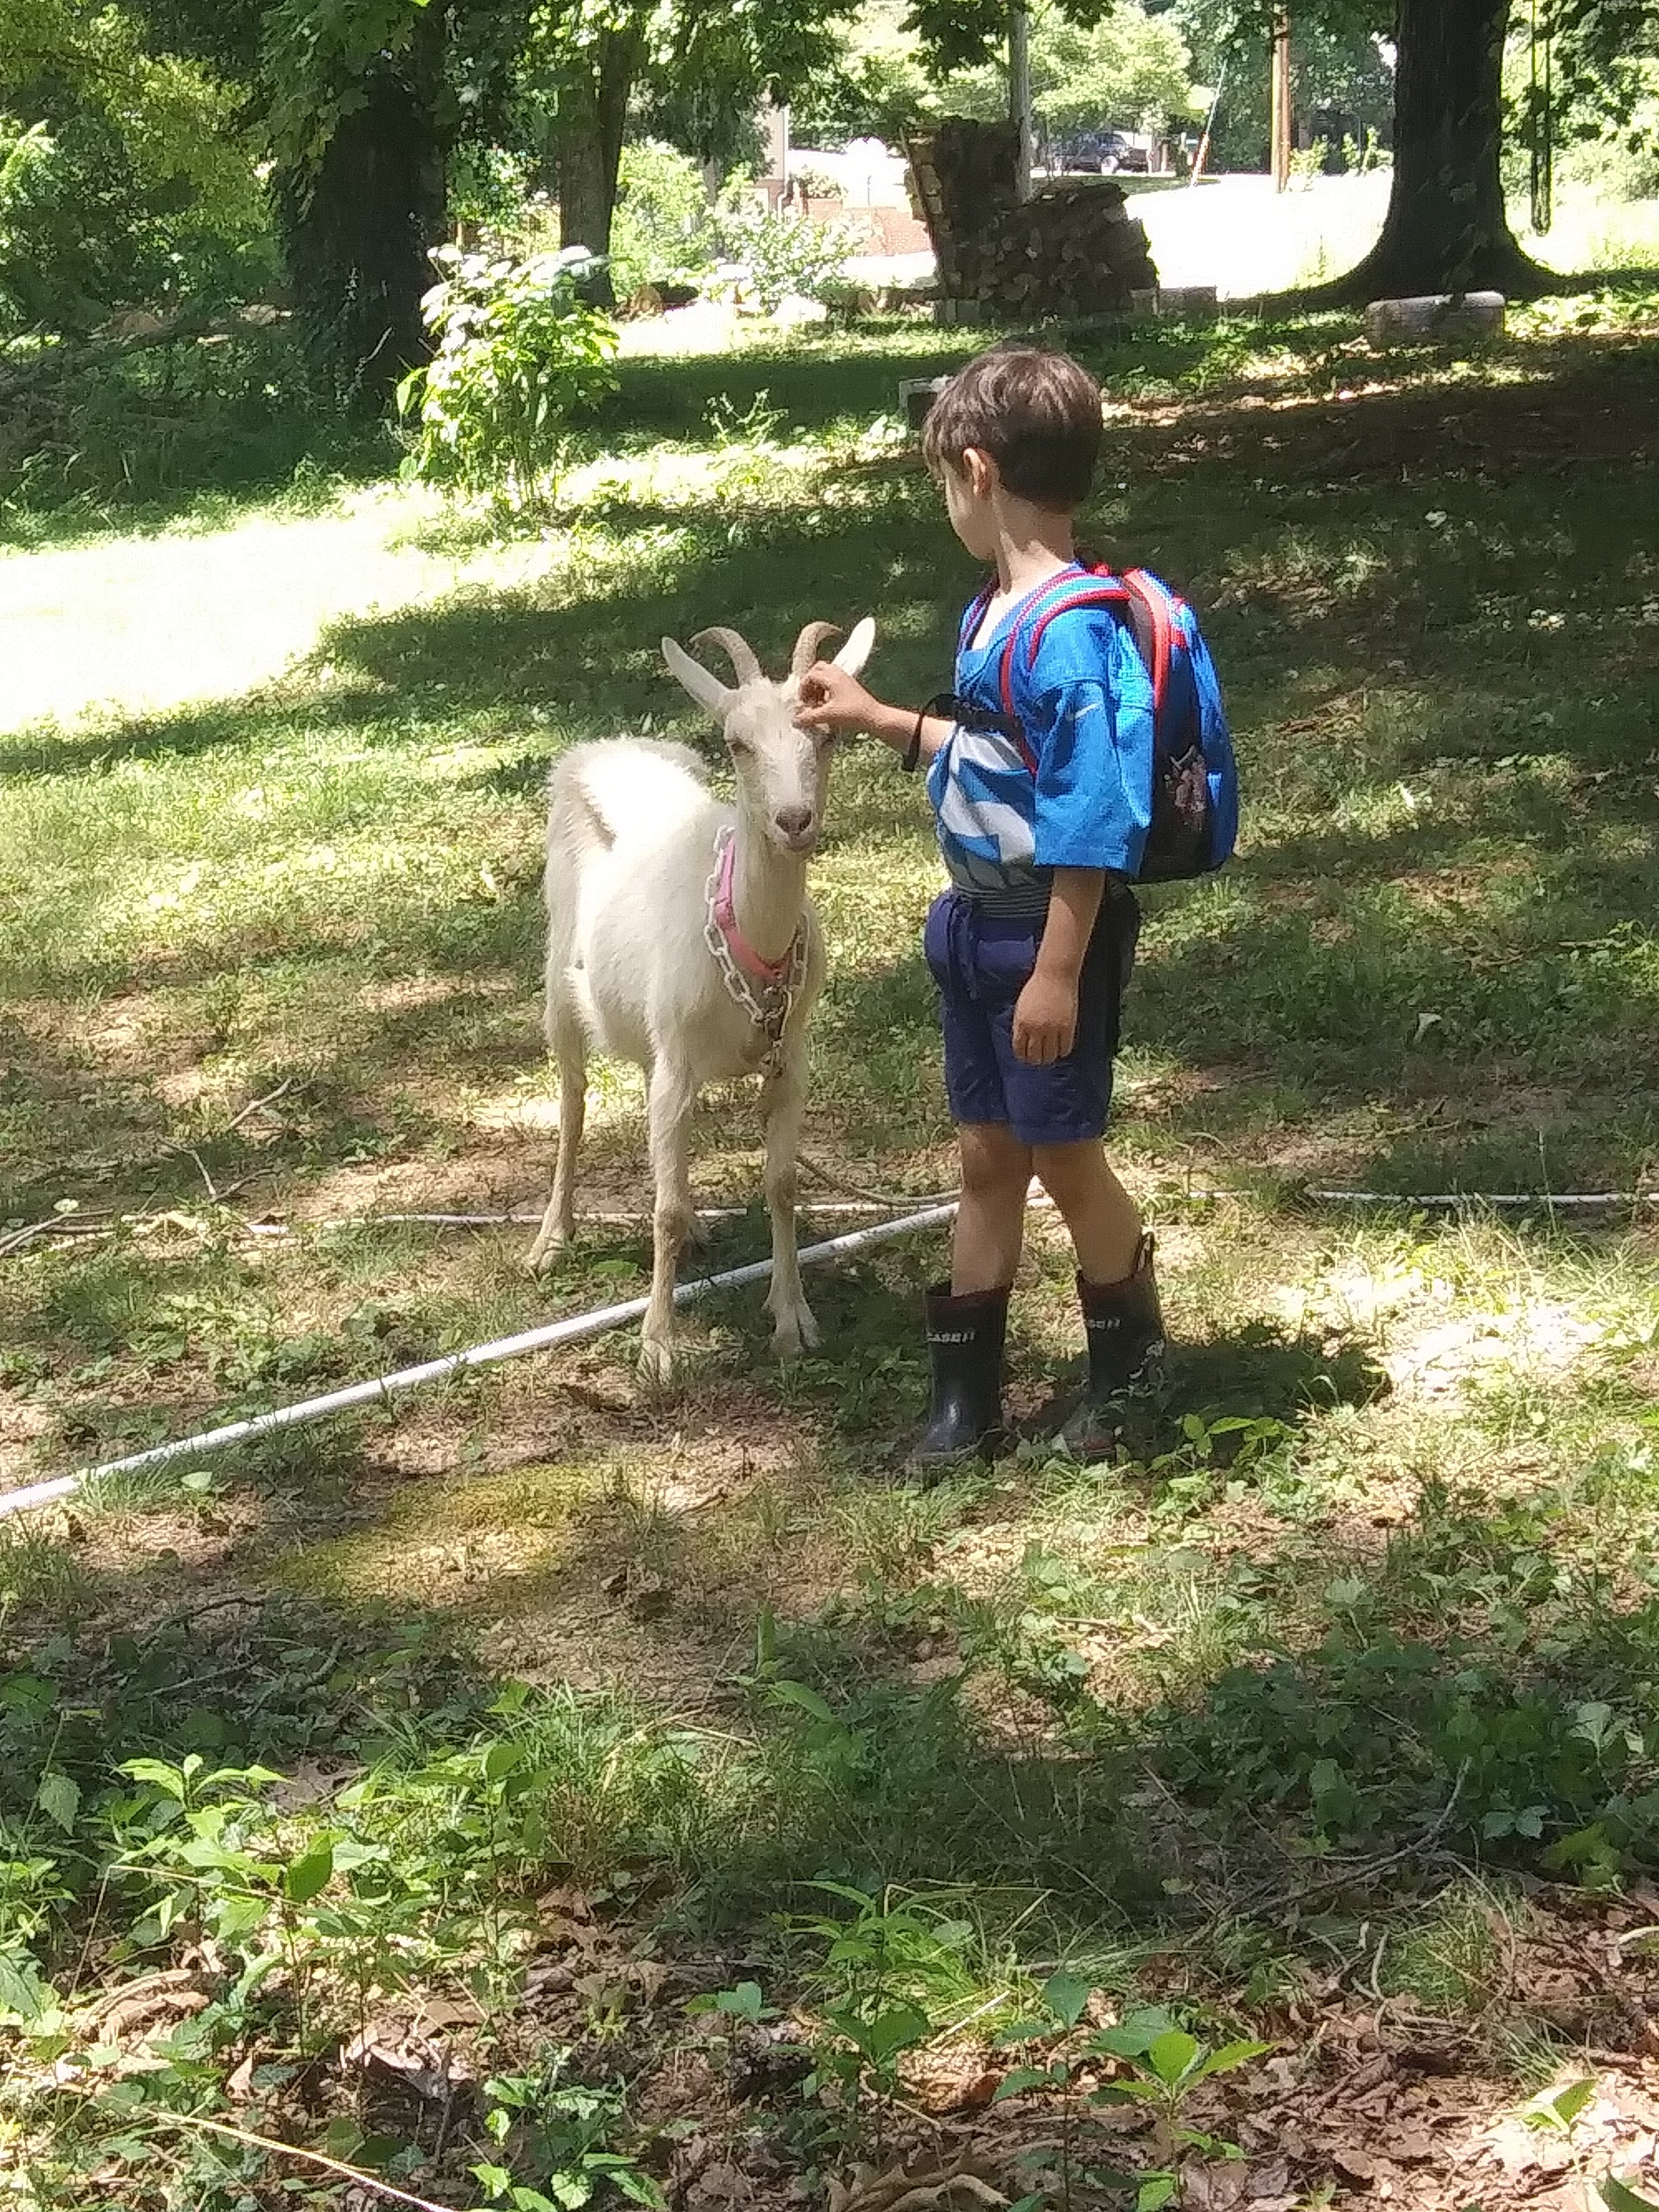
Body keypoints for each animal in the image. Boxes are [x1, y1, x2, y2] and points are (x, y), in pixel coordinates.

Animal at [527, 616, 876, 1382]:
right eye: (736, 743)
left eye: (828, 735)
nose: (795, 820)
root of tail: (607, 747)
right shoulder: (679, 1058)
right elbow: (655, 1207)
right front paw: (657, 1348)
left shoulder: (791, 1059)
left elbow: (781, 1183)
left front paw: (792, 1317)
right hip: (559, 977)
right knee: (572, 1101)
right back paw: (551, 1239)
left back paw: (693, 1224)